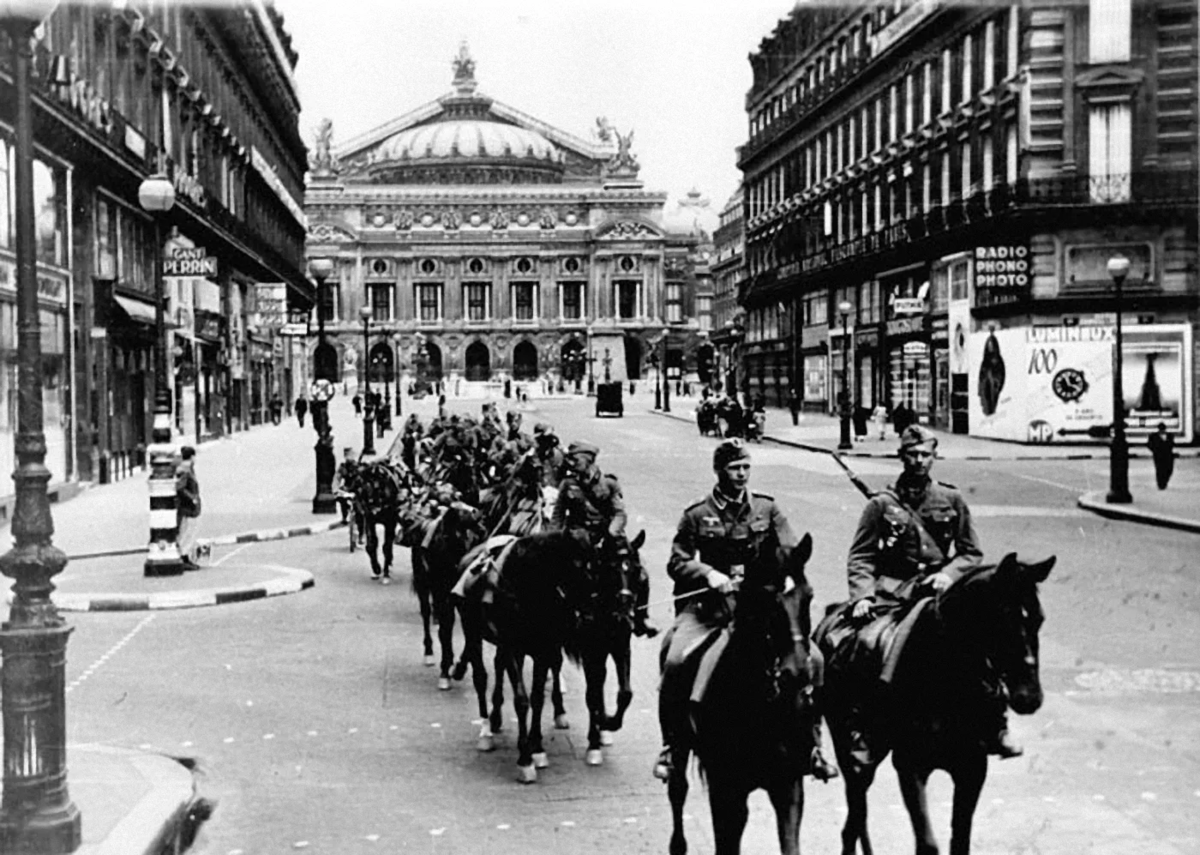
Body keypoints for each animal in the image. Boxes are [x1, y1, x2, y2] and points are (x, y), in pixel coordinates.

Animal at [662, 533, 820, 855]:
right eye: (768, 598)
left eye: (808, 596)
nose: (799, 671)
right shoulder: (726, 789)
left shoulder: (788, 785)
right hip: (679, 746)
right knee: (677, 789)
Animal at [816, 554, 1060, 855]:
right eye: (1004, 616)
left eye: (1040, 618)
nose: (1030, 697)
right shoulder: (910, 766)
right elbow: (928, 843)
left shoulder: (972, 769)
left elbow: (960, 840)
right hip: (849, 749)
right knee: (856, 808)